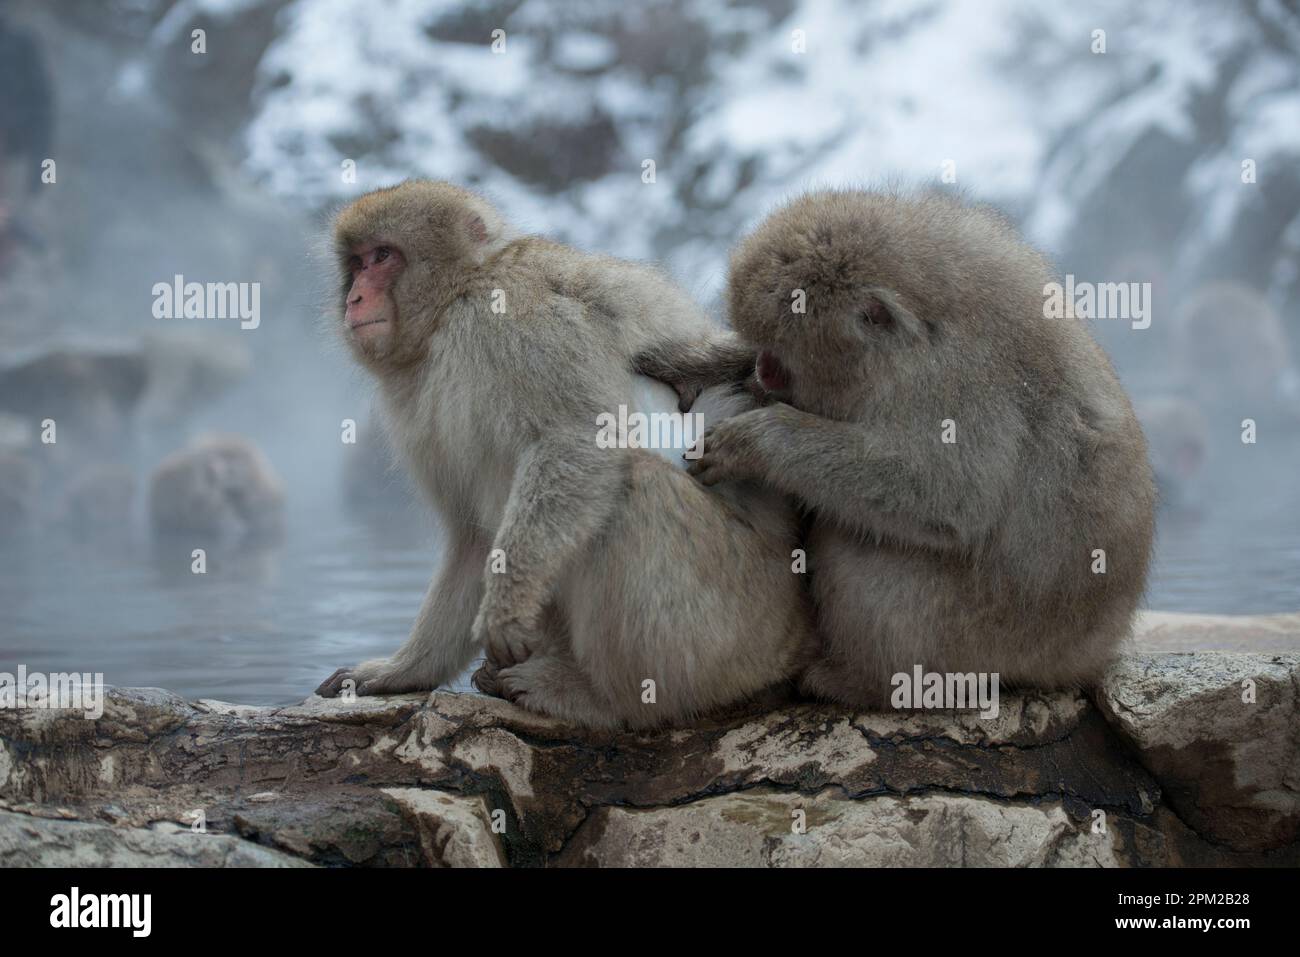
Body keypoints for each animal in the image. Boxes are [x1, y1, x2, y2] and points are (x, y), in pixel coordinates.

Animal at [313, 180, 811, 729]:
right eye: (356, 263)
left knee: (633, 486)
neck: (455, 301)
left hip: (735, 628)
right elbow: (471, 537)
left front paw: (506, 606)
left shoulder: (511, 318)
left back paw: (603, 698)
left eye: (383, 256)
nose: (355, 297)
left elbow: (577, 437)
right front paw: (404, 670)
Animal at [635, 188, 1157, 708]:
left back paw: (865, 682)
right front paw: (698, 363)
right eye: (762, 344)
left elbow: (945, 496)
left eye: (781, 354)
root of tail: (1084, 653)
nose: (763, 369)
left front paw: (756, 441)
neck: (919, 329)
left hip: (978, 639)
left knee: (852, 543)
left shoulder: (952, 382)